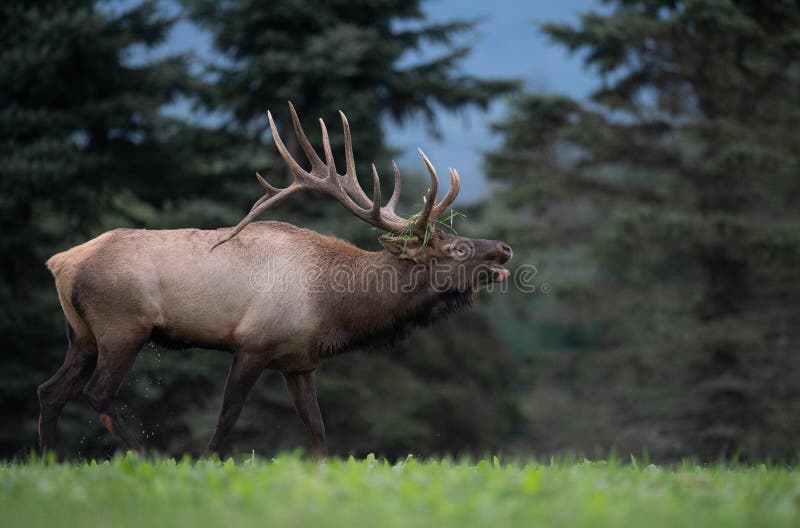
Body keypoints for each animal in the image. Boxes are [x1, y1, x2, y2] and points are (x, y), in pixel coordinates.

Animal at [38, 103, 513, 460]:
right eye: (456, 249)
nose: (504, 249)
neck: (334, 306)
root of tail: (61, 262)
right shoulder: (253, 342)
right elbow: (227, 417)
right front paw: (204, 462)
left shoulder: (299, 362)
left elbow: (318, 429)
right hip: (123, 326)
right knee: (98, 393)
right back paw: (143, 456)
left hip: (81, 334)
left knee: (51, 391)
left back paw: (48, 460)